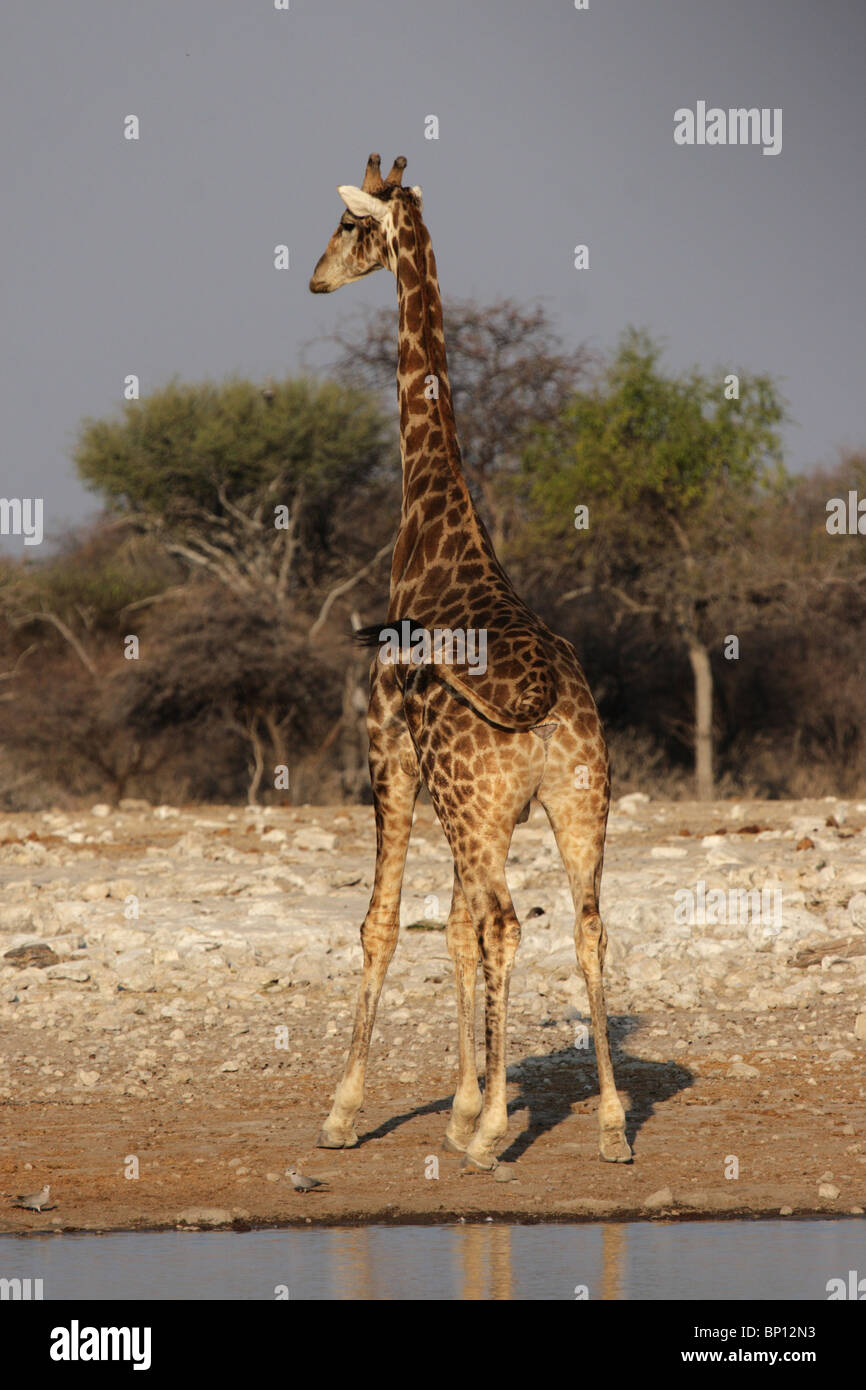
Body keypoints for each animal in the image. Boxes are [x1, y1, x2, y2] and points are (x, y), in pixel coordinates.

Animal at [308, 153, 631, 1171]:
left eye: (348, 227)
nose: (315, 278)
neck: (431, 526)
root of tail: (544, 704)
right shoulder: (458, 798)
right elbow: (450, 931)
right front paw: (456, 1103)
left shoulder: (388, 747)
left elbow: (384, 923)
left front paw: (347, 1111)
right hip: (577, 801)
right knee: (584, 925)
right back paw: (612, 1124)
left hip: (478, 804)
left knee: (503, 921)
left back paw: (494, 1134)